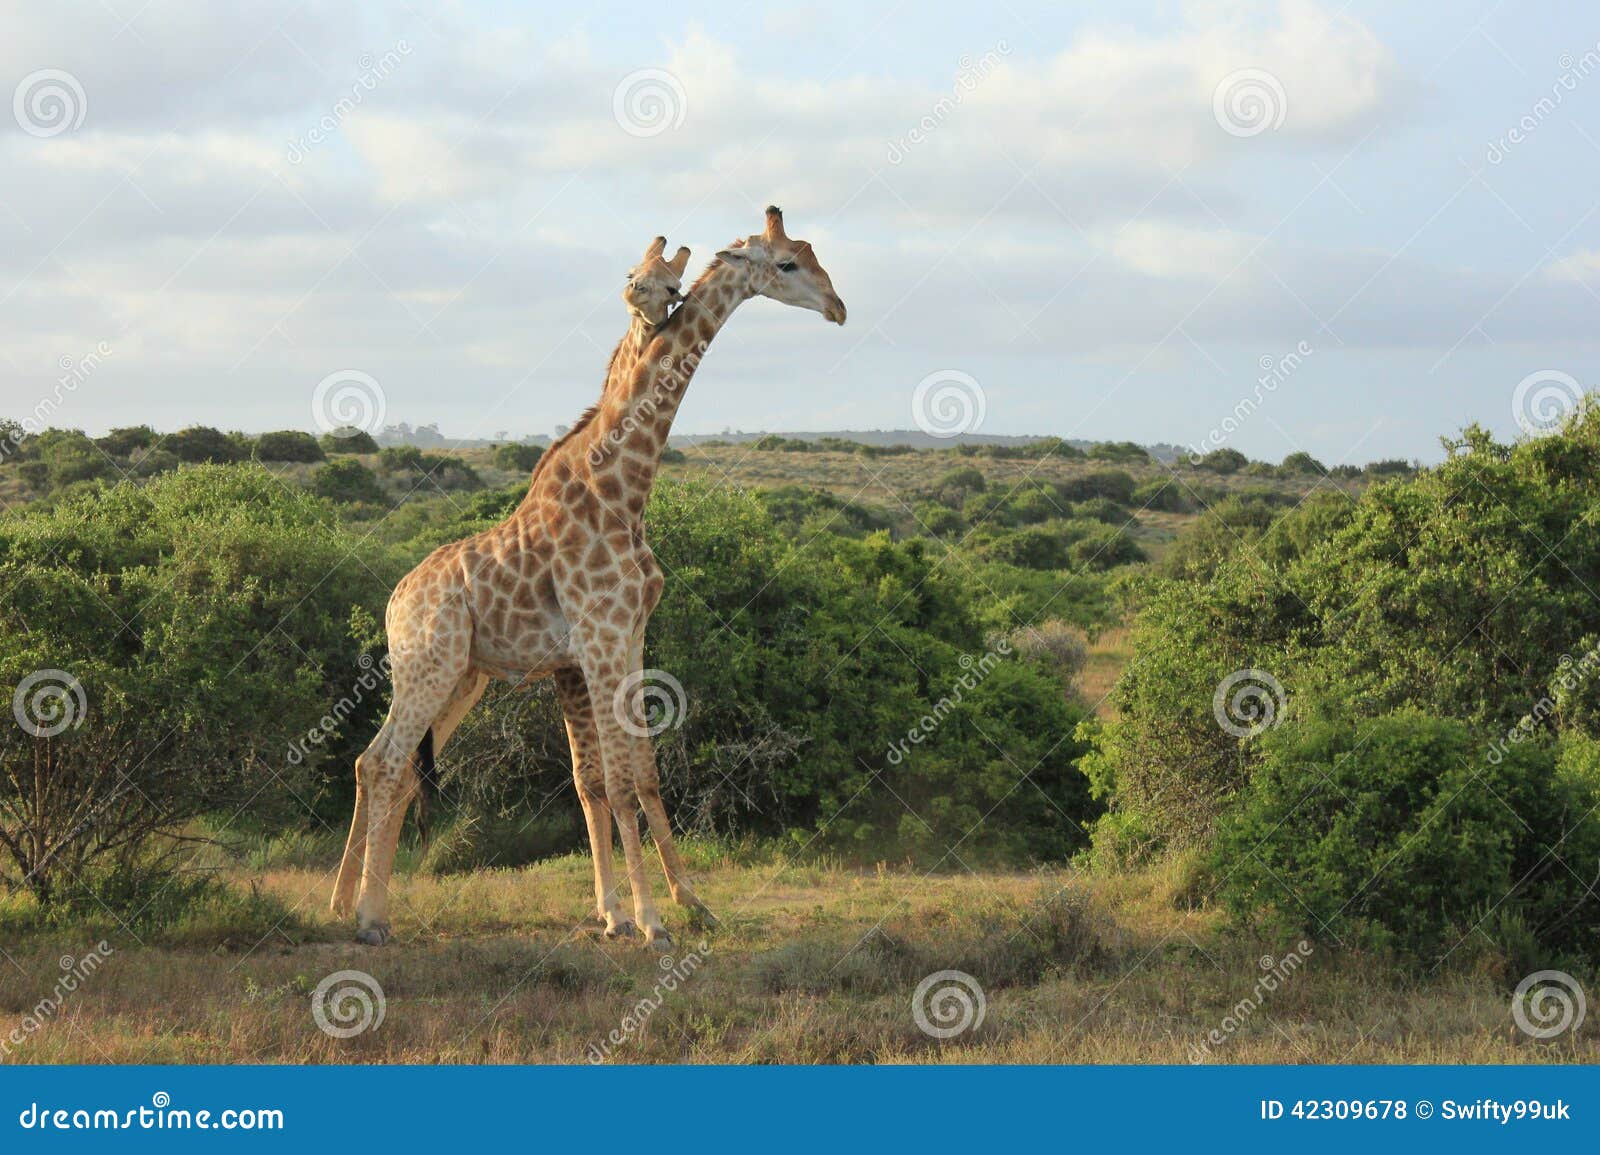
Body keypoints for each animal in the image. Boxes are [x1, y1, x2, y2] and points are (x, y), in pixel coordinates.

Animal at [331, 207, 845, 947]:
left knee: (380, 765)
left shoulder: (628, 637)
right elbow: (619, 780)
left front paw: (686, 905)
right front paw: (650, 921)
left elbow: (642, 774)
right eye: (786, 264)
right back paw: (369, 918)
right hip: (428, 663)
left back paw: (347, 903)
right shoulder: (598, 640)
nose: (837, 307)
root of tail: (396, 599)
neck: (623, 489)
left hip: (461, 675)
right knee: (386, 761)